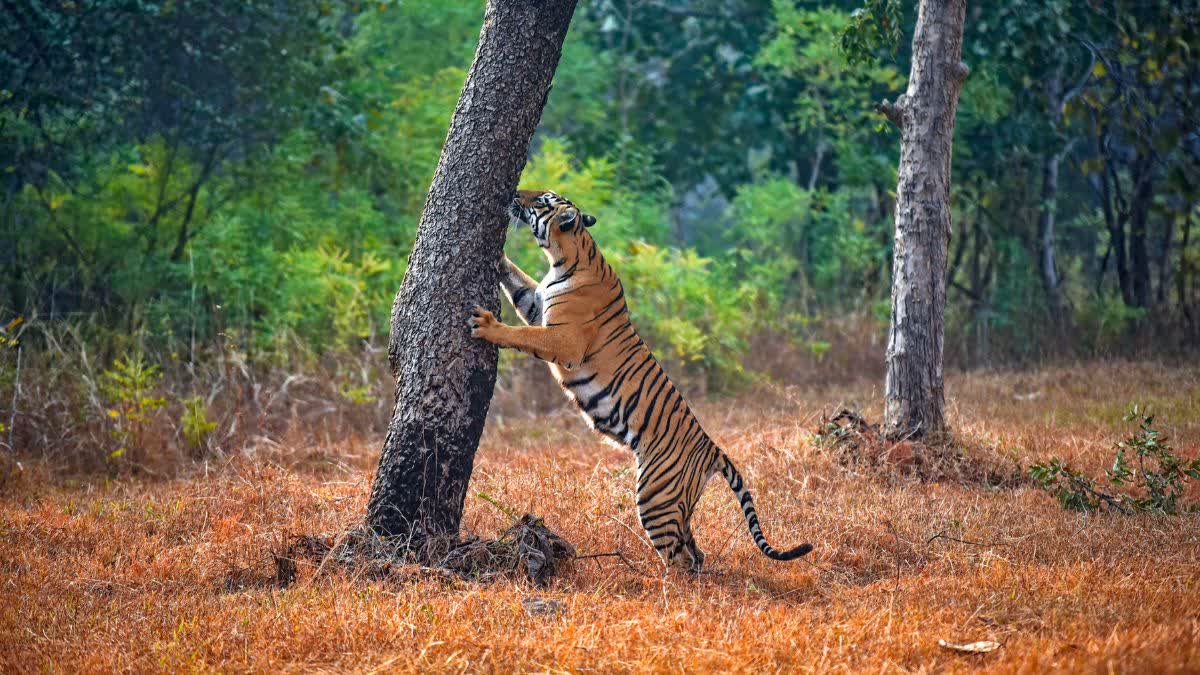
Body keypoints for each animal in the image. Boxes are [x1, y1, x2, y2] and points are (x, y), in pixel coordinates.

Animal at [468, 189, 812, 572]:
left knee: (679, 559)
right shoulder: (535, 303)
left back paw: (658, 579)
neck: (565, 256)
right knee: (695, 553)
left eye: (543, 200)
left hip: (654, 497)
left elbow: (521, 336)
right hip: (677, 505)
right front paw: (498, 255)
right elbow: (516, 281)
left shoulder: (563, 340)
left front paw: (487, 326)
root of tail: (713, 450)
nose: (515, 193)